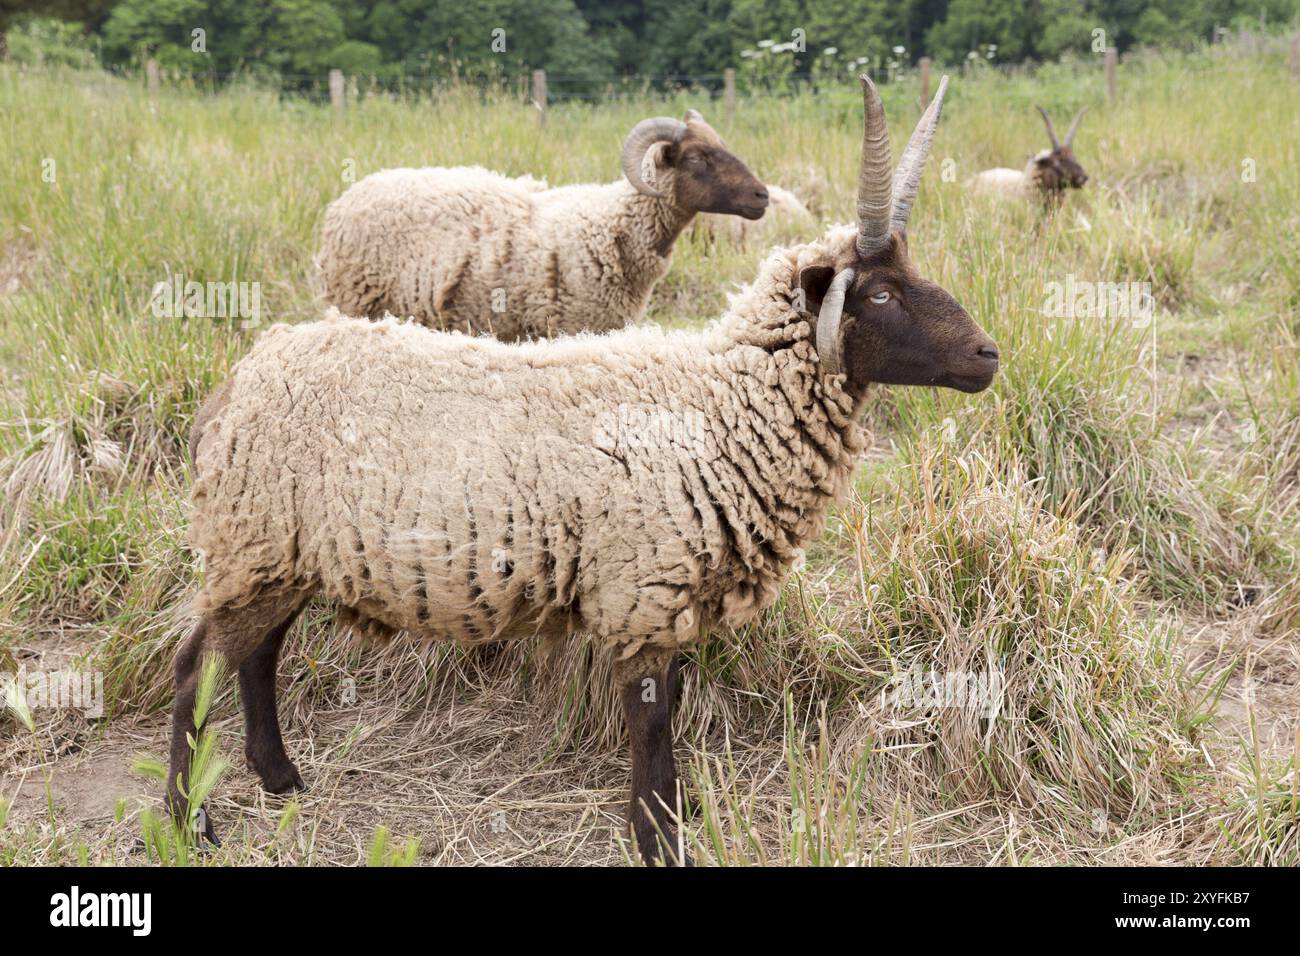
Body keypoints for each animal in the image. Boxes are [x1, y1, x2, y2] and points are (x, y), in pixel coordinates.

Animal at [315, 110, 770, 342]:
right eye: (697, 158)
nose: (762, 196)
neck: (614, 223)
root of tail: (343, 202)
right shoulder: (571, 327)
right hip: (355, 302)